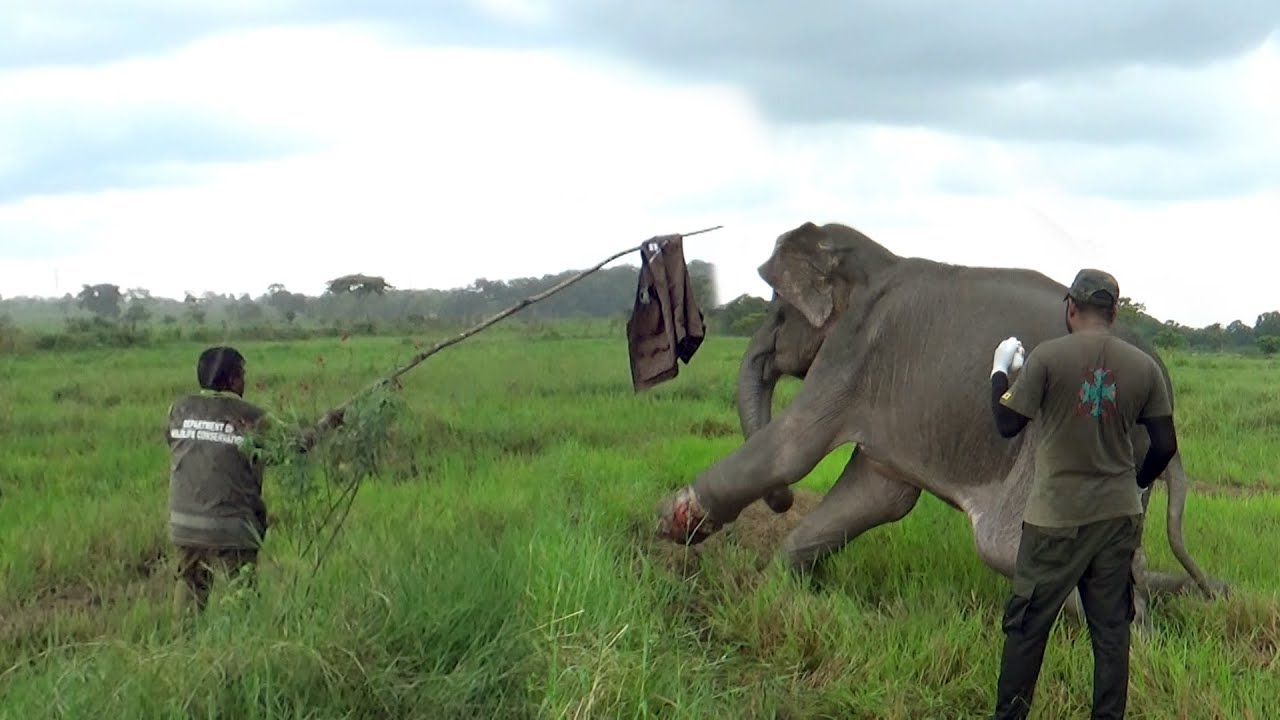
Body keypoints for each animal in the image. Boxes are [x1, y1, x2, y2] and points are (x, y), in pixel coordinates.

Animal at [657, 221, 1224, 621]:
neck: (872, 256)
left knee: (1006, 547)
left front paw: (672, 522)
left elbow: (792, 450)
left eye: (778, 310)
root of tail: (1165, 389)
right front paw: (769, 588)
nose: (783, 505)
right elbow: (878, 496)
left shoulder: (851, 352)